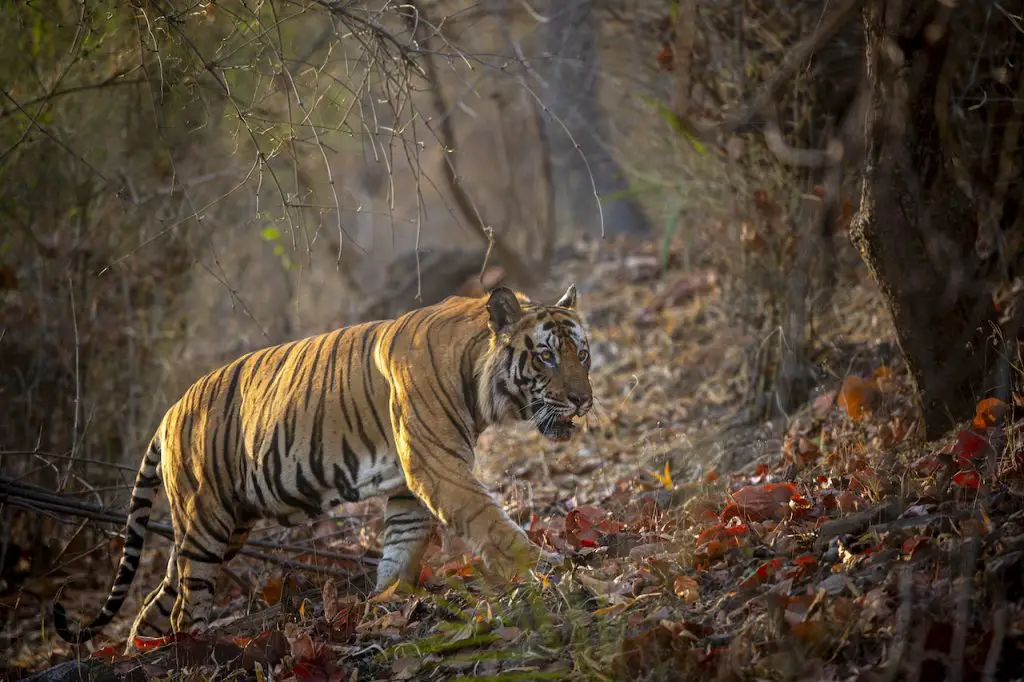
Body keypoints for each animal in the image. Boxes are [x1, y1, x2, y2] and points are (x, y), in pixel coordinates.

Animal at [53, 284, 593, 650]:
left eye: (583, 355)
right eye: (546, 356)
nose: (583, 401)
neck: (476, 377)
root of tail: (169, 412)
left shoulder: (409, 485)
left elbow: (401, 550)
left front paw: (386, 605)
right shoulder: (438, 469)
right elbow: (492, 523)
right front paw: (545, 566)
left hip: (213, 532)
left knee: (155, 604)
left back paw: (144, 653)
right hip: (206, 523)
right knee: (186, 608)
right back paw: (199, 652)